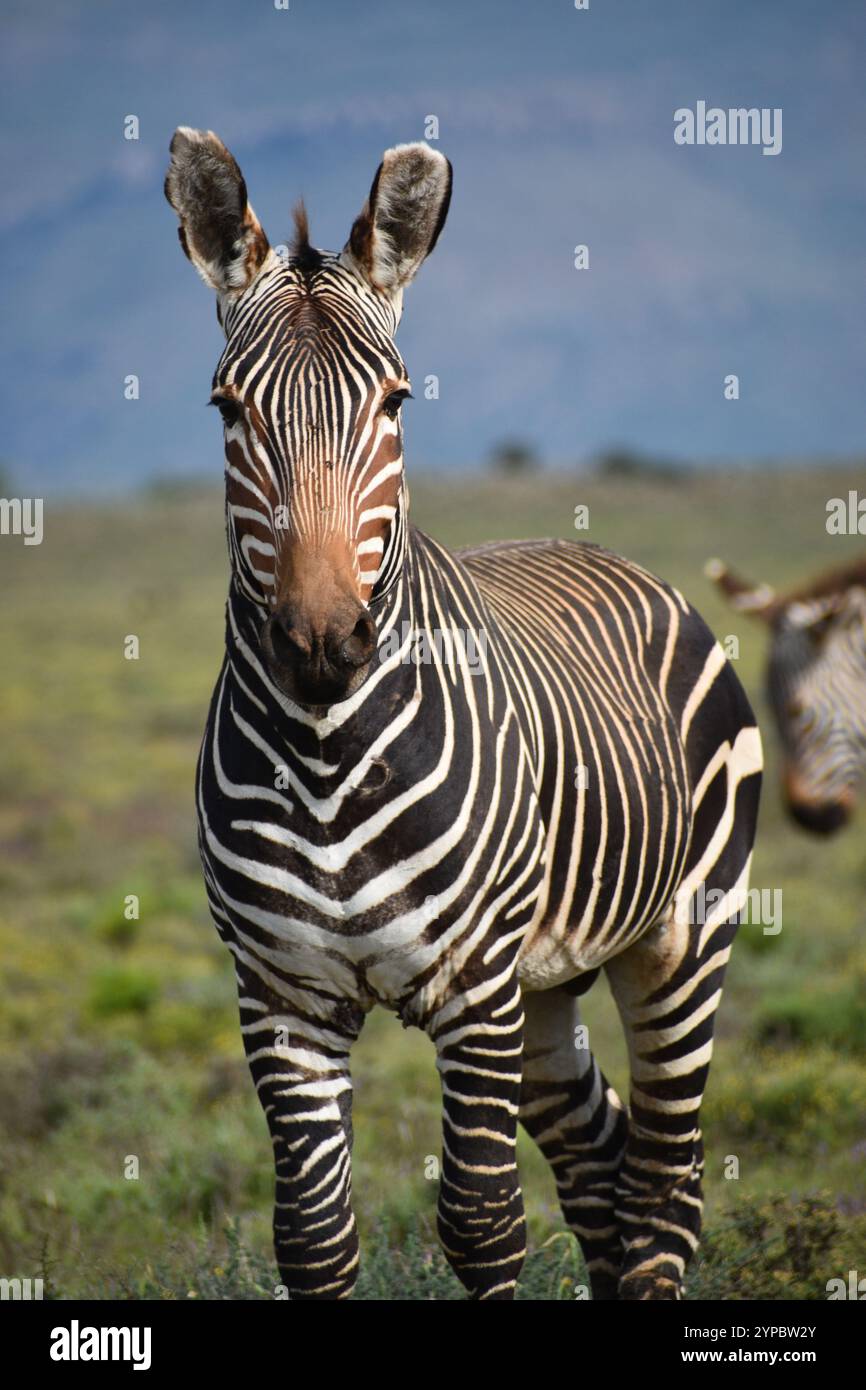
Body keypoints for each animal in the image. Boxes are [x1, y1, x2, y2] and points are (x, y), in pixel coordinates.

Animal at [165, 127, 763, 1301]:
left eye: (396, 404)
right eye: (227, 411)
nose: (320, 642)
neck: (326, 760)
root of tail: (601, 550)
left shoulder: (476, 986)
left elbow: (482, 1221)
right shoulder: (278, 994)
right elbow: (313, 1237)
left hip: (680, 937)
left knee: (664, 1184)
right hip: (547, 981)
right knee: (601, 1155)